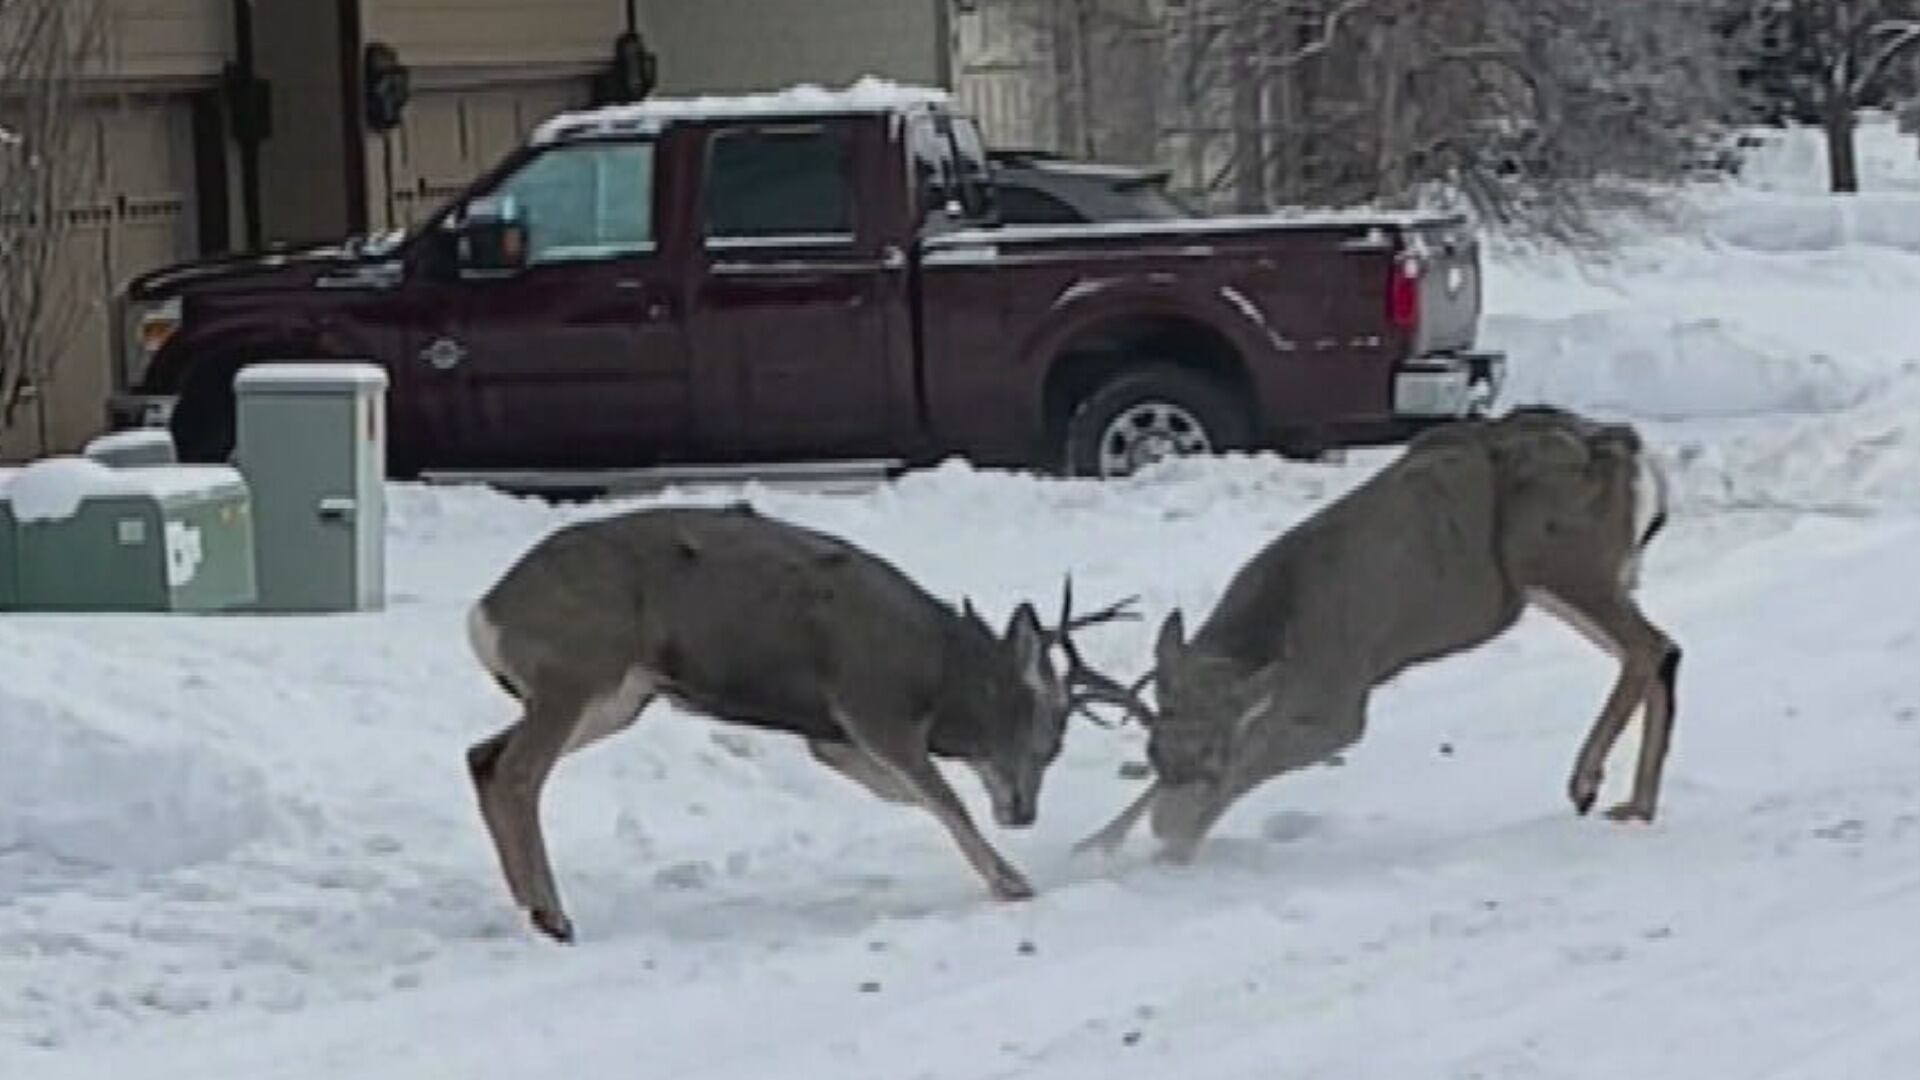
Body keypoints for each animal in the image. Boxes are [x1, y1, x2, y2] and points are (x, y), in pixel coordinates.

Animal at [462, 501, 1144, 944]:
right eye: (1049, 739)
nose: (1023, 813)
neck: (938, 670)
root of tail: (485, 613)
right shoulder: (873, 702)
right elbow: (945, 799)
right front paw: (1014, 883)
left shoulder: (831, 738)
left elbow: (911, 796)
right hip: (579, 670)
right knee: (519, 771)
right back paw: (554, 916)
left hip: (618, 698)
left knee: (483, 757)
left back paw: (531, 906)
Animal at [1074, 405, 1683, 863]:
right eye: (1153, 750)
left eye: (1211, 758)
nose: (1167, 825)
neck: (1281, 618)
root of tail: (1631, 449)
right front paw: (1095, 844)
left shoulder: (1338, 695)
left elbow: (1252, 760)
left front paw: (1173, 847)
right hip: (1569, 572)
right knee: (1662, 650)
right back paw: (1636, 806)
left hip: (1553, 553)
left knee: (1648, 646)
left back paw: (1587, 782)